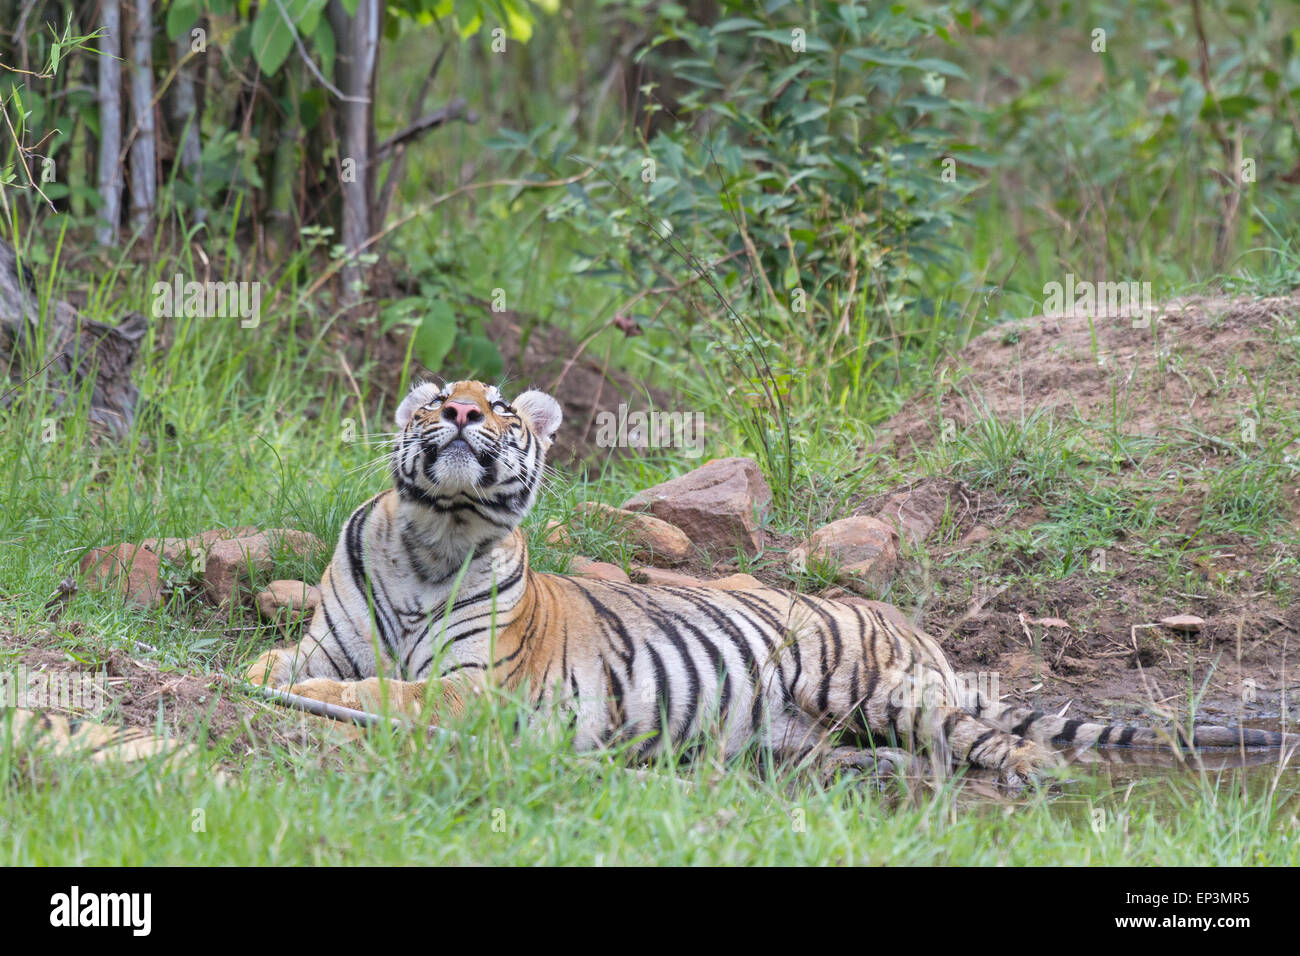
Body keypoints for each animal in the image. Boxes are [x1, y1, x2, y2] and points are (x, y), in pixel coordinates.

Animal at [245, 380, 1293, 786]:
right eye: (434, 401)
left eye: (499, 407)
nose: (462, 413)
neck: (435, 534)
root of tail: (915, 629)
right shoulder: (327, 634)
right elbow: (282, 662)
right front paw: (258, 678)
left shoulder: (475, 690)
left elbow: (381, 690)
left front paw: (316, 699)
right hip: (806, 727)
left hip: (879, 686)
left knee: (994, 741)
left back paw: (1043, 777)